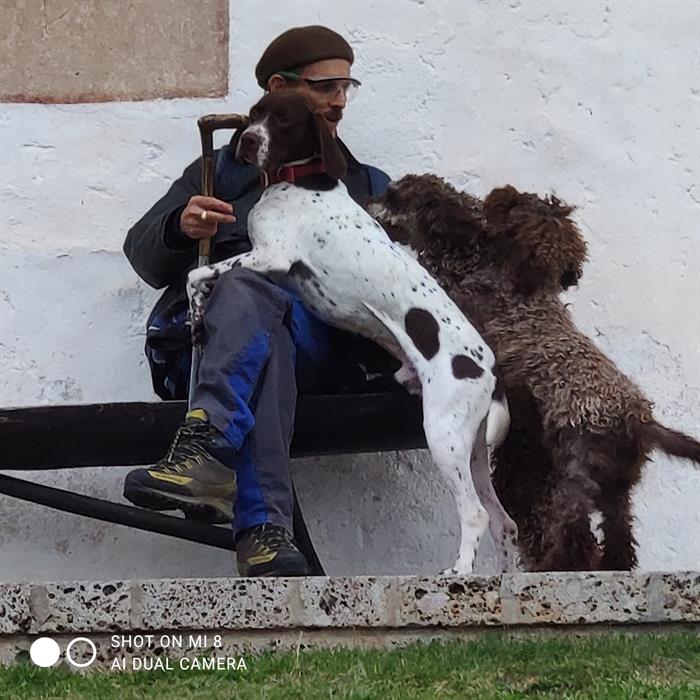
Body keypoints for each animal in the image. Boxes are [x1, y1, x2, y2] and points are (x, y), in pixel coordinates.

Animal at [189, 91, 516, 576]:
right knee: (503, 521)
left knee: (475, 513)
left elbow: (196, 273)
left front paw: (195, 312)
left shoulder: (271, 257)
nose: (247, 142)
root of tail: (489, 369)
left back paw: (459, 571)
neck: (301, 181)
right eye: (255, 114)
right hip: (471, 446)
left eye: (283, 119)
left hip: (443, 434)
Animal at [370, 174, 700, 568]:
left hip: (577, 474)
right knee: (620, 539)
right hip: (617, 487)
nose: (368, 200)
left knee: (575, 533)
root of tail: (638, 420)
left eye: (394, 195)